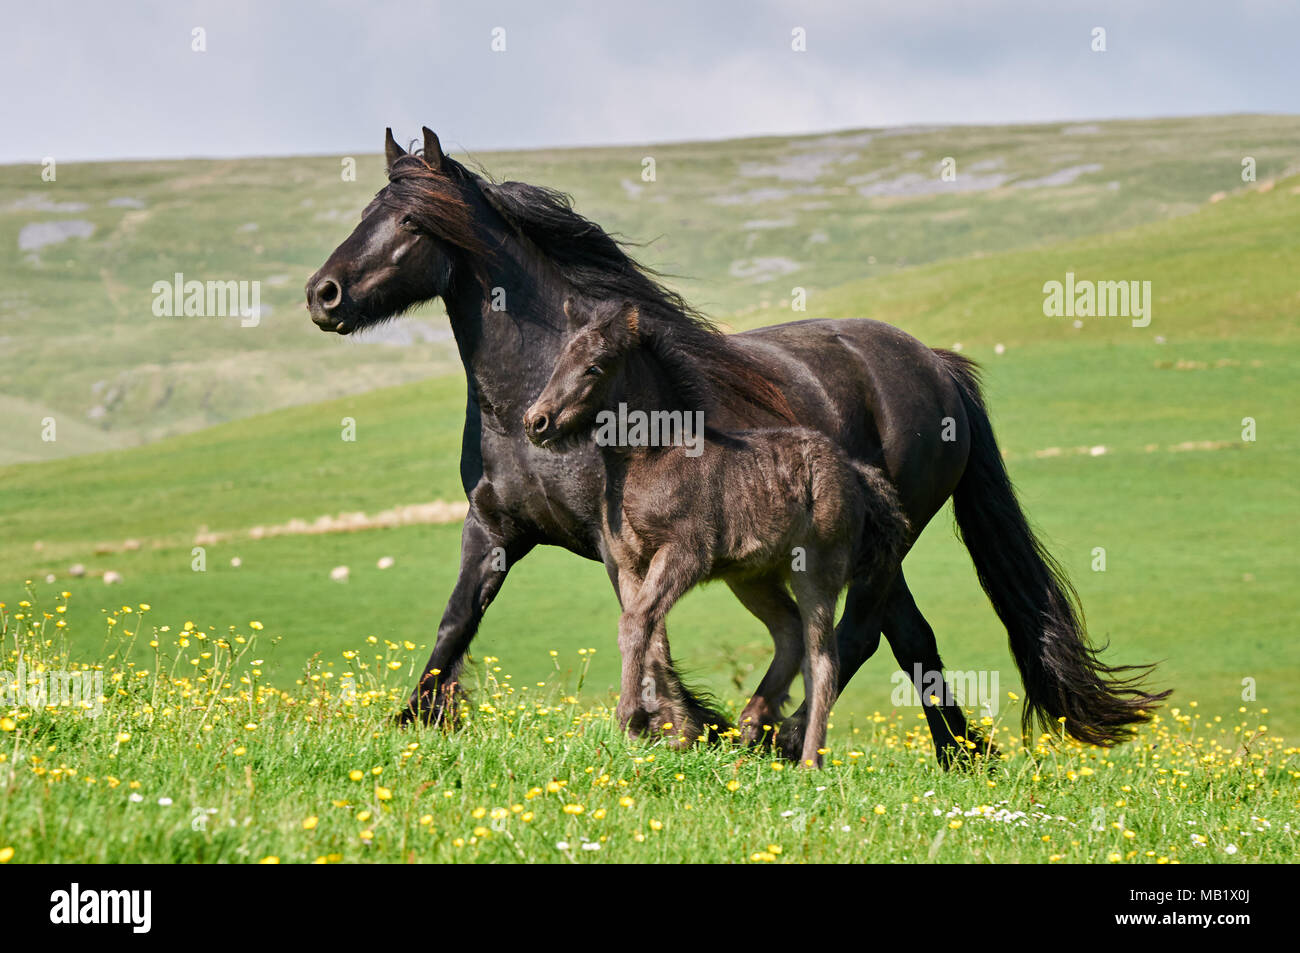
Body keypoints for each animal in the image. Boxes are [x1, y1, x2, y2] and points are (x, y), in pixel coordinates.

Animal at [522, 297, 911, 765]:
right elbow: (647, 632)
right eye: (561, 359)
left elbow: (637, 623)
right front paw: (669, 728)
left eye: (594, 367)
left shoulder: (685, 553)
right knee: (789, 632)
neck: (651, 457)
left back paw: (809, 759)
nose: (536, 422)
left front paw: (632, 718)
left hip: (817, 571)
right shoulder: (631, 563)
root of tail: (854, 470)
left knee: (822, 659)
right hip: (752, 578)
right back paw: (752, 724)